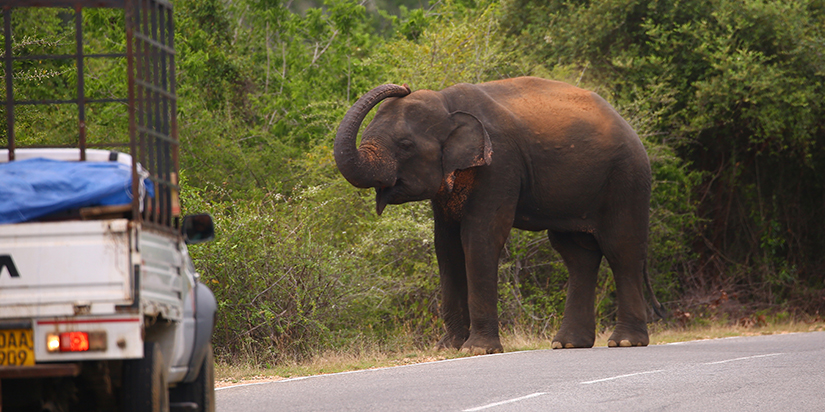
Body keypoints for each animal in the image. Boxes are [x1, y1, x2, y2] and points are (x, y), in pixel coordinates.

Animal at [334, 76, 664, 354]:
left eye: (405, 145)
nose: (403, 86)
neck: (447, 103)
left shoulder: (500, 164)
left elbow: (480, 237)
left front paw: (477, 350)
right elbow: (446, 246)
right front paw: (448, 348)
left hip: (627, 179)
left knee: (621, 250)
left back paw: (624, 342)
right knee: (577, 255)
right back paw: (567, 344)